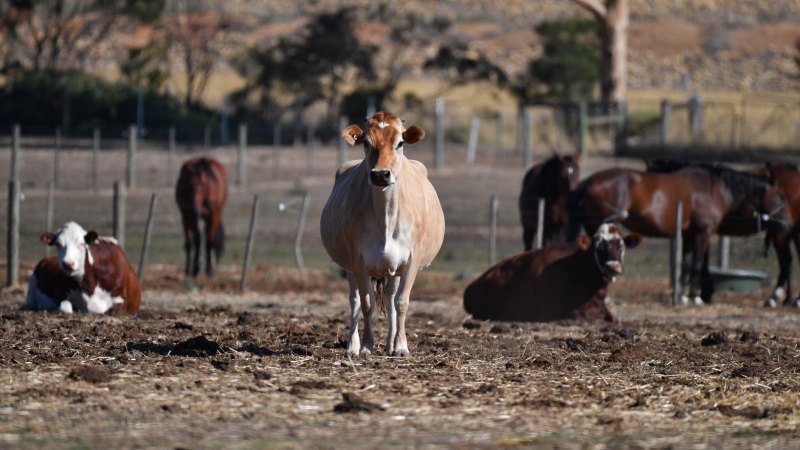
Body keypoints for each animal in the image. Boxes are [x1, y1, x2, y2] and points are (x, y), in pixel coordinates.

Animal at [320, 111, 445, 357]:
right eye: (367, 143)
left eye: (400, 143)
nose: (380, 175)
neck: (386, 216)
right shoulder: (357, 260)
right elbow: (367, 303)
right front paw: (367, 345)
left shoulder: (411, 259)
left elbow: (401, 302)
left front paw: (401, 346)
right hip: (349, 266)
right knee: (355, 300)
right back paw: (353, 346)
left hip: (394, 269)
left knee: (390, 299)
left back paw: (391, 343)